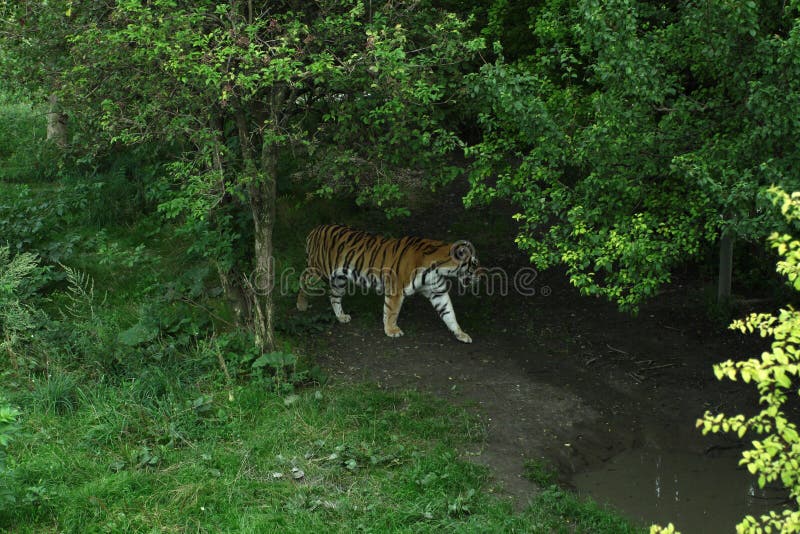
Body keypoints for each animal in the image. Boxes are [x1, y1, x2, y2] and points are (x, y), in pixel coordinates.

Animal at [296, 224, 481, 343]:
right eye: (475, 263)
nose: (482, 276)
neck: (438, 267)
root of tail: (314, 230)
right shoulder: (396, 289)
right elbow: (392, 311)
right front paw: (392, 330)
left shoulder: (438, 292)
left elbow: (449, 313)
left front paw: (461, 334)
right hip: (318, 270)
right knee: (303, 280)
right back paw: (301, 305)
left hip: (339, 279)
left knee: (333, 296)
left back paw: (341, 317)